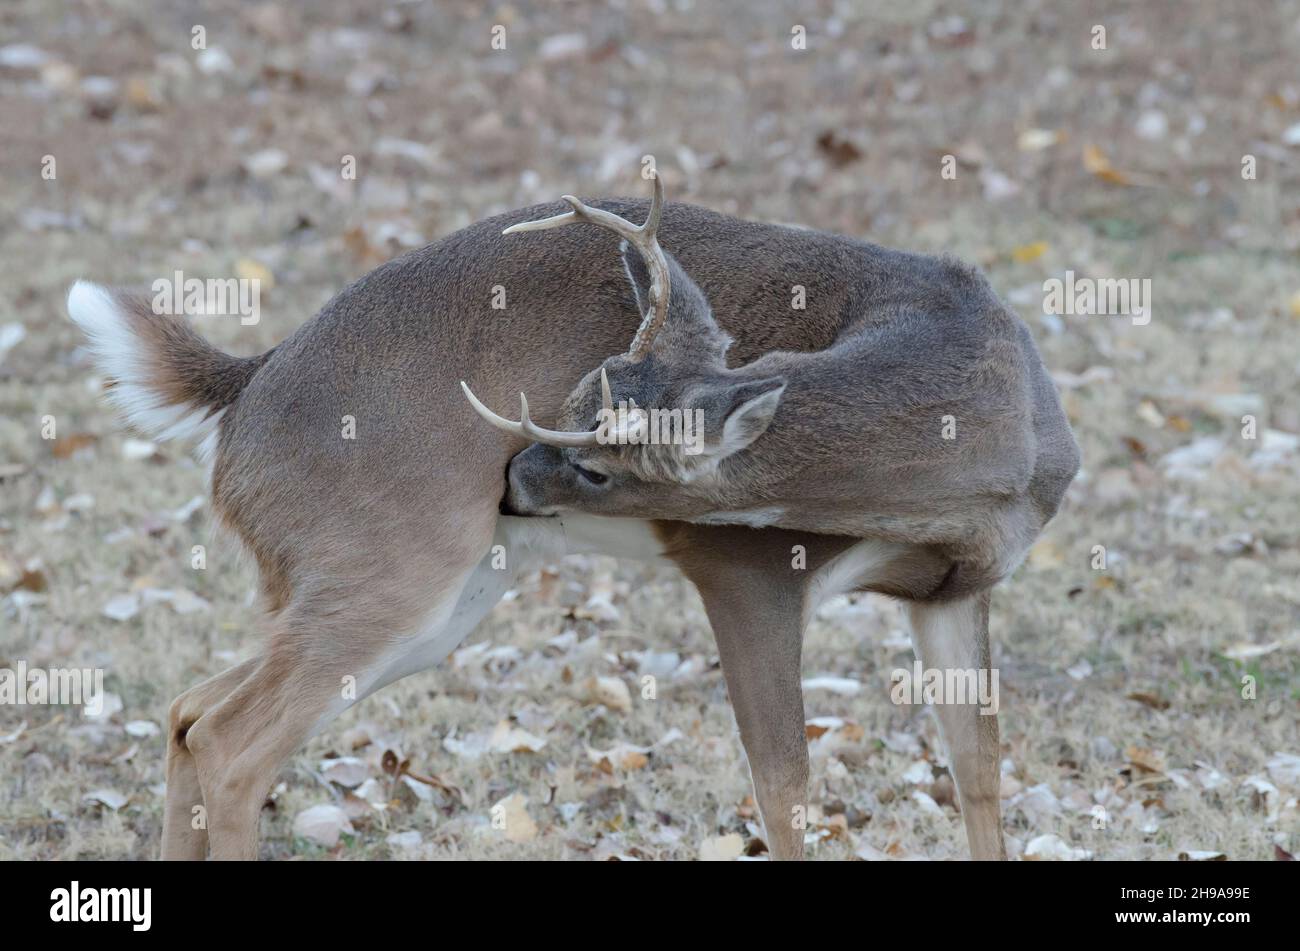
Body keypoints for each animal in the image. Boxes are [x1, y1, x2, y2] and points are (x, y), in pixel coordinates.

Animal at [67, 172, 1079, 861]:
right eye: (578, 392)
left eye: (596, 458)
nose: (509, 475)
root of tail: (248, 391)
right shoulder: (746, 571)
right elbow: (785, 787)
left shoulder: (953, 592)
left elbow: (980, 773)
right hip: (387, 562)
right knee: (234, 741)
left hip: (419, 595)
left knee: (190, 710)